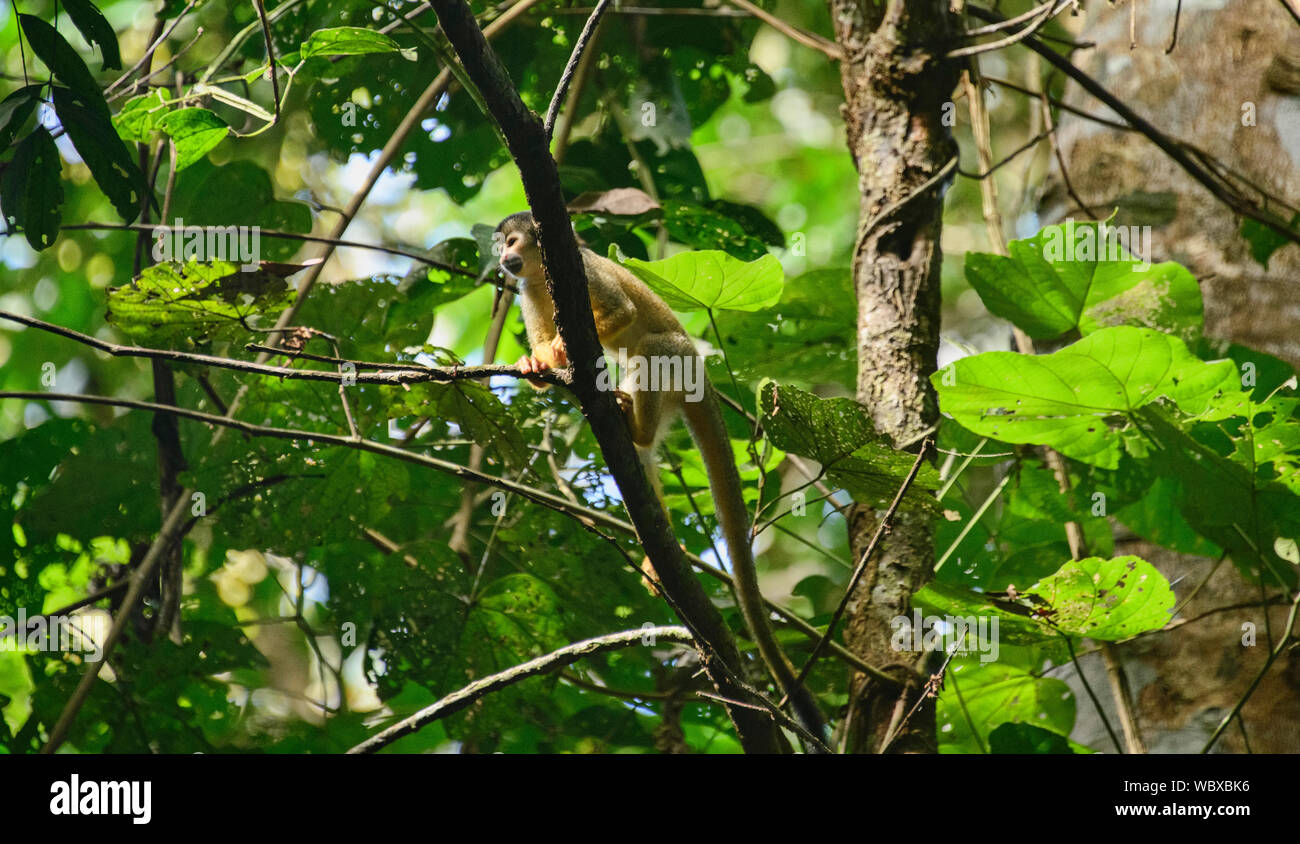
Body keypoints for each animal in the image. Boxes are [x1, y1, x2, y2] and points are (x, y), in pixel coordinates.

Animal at [494, 211, 827, 746]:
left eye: (511, 240)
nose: (503, 258)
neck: (542, 274)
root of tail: (704, 377)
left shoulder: (580, 267)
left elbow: (623, 311)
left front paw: (565, 347)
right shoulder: (525, 291)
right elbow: (544, 355)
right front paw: (536, 364)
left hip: (678, 360)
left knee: (650, 347)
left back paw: (637, 426)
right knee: (641, 452)